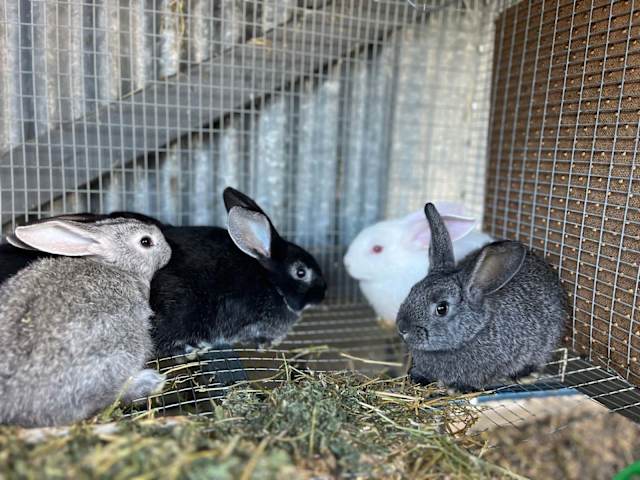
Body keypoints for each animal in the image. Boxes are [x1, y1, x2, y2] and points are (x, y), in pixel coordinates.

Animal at [396, 203, 568, 392]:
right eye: (412, 290)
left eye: (442, 308)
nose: (402, 328)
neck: (475, 331)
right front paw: (418, 376)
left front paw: (458, 388)